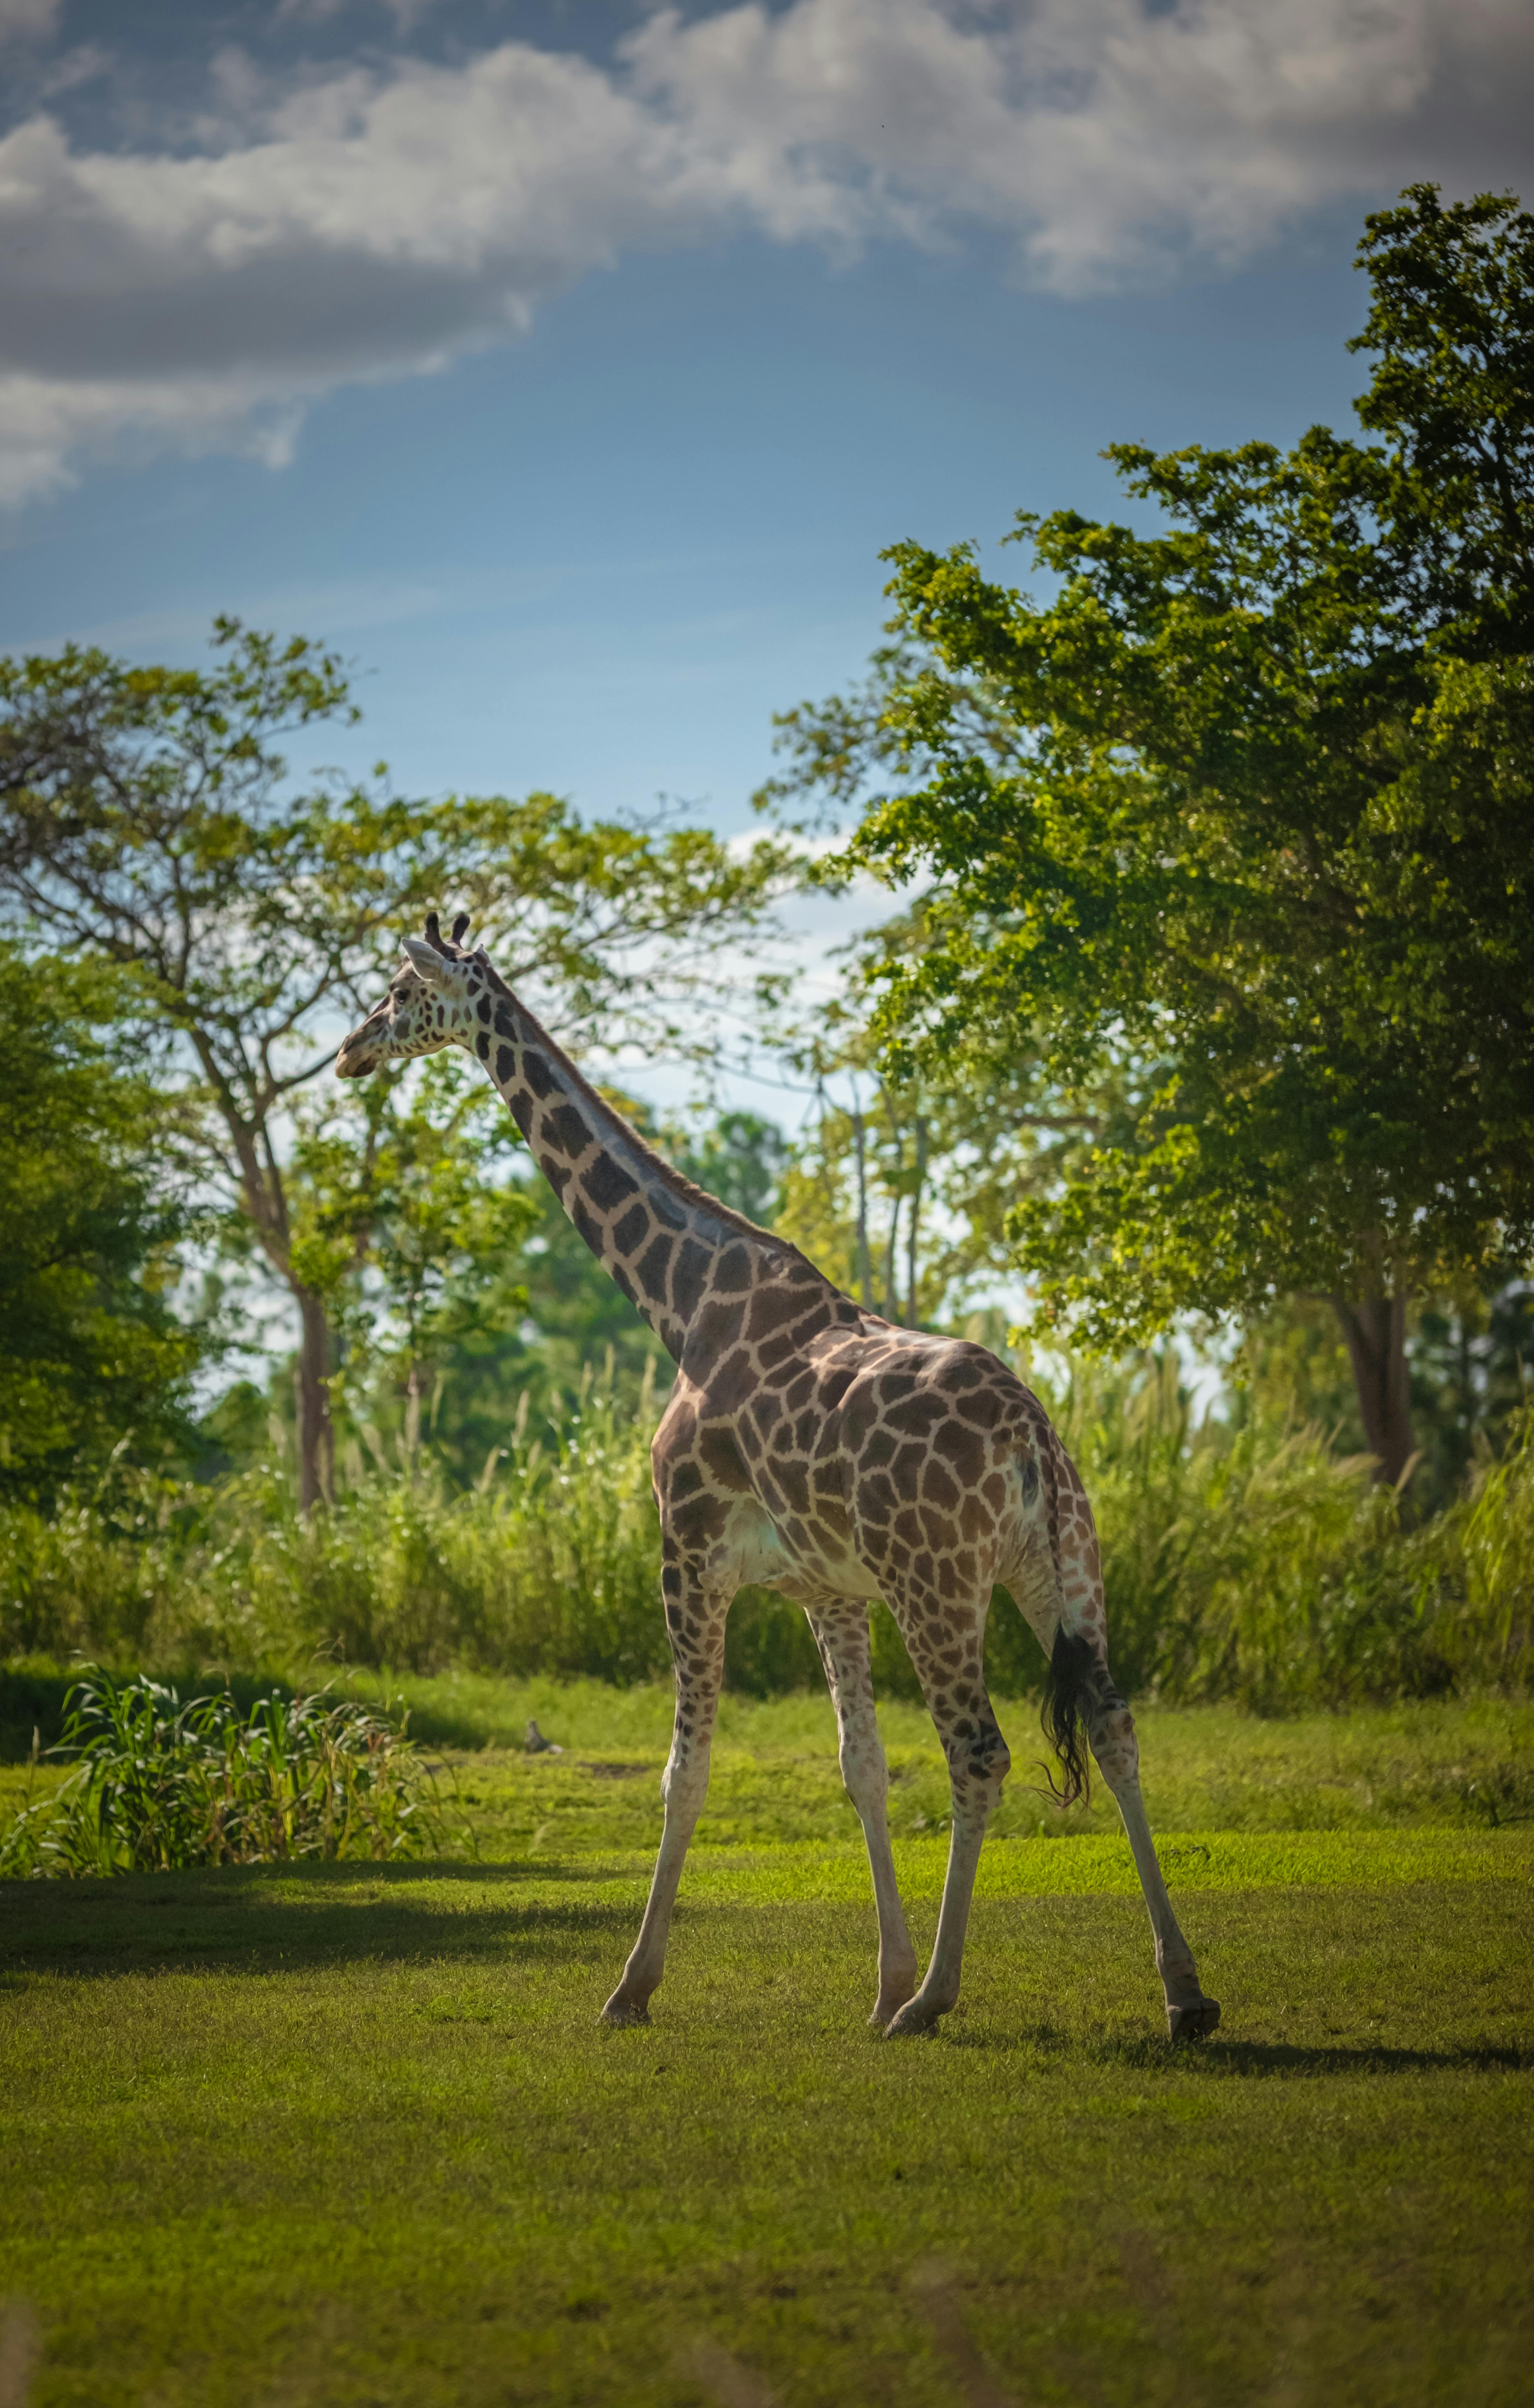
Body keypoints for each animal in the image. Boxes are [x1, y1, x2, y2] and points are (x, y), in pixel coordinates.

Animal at [336, 917, 1221, 2043]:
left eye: (401, 992)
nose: (348, 1051)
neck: (682, 1303)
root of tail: (1030, 1436)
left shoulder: (686, 1555)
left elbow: (685, 1772)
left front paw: (632, 1987)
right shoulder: (828, 1591)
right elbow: (862, 1769)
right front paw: (880, 1978)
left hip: (939, 1584)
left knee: (979, 1754)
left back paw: (935, 2001)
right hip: (1062, 1567)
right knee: (1111, 1726)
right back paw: (1181, 1992)